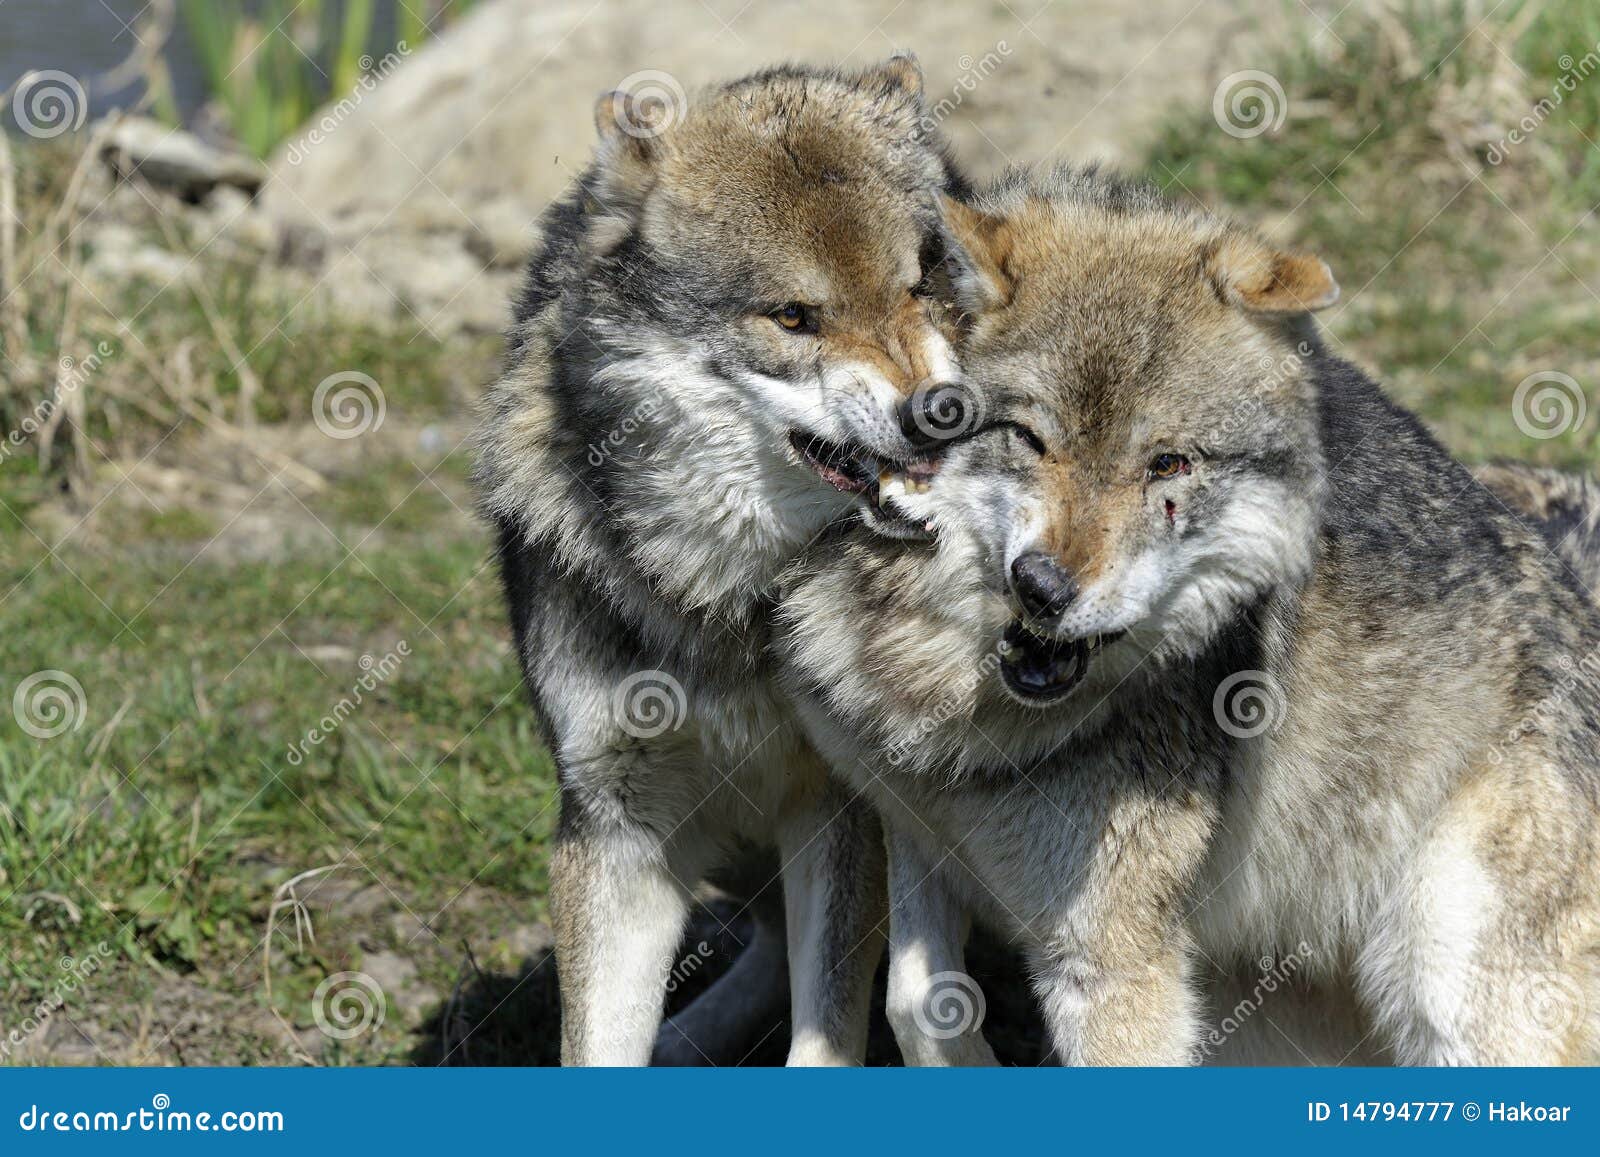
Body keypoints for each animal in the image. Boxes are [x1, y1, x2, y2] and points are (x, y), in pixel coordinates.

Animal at [473, 57, 976, 1065]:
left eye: (919, 284)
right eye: (794, 316)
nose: (940, 412)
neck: (726, 601)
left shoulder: (841, 805)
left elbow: (829, 1033)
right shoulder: (614, 826)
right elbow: (595, 1044)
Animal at [775, 167, 1600, 1065]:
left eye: (1167, 464)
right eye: (1027, 438)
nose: (1042, 588)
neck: (945, 689)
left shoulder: (1109, 961)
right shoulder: (915, 825)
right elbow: (916, 1004)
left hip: (1454, 990)